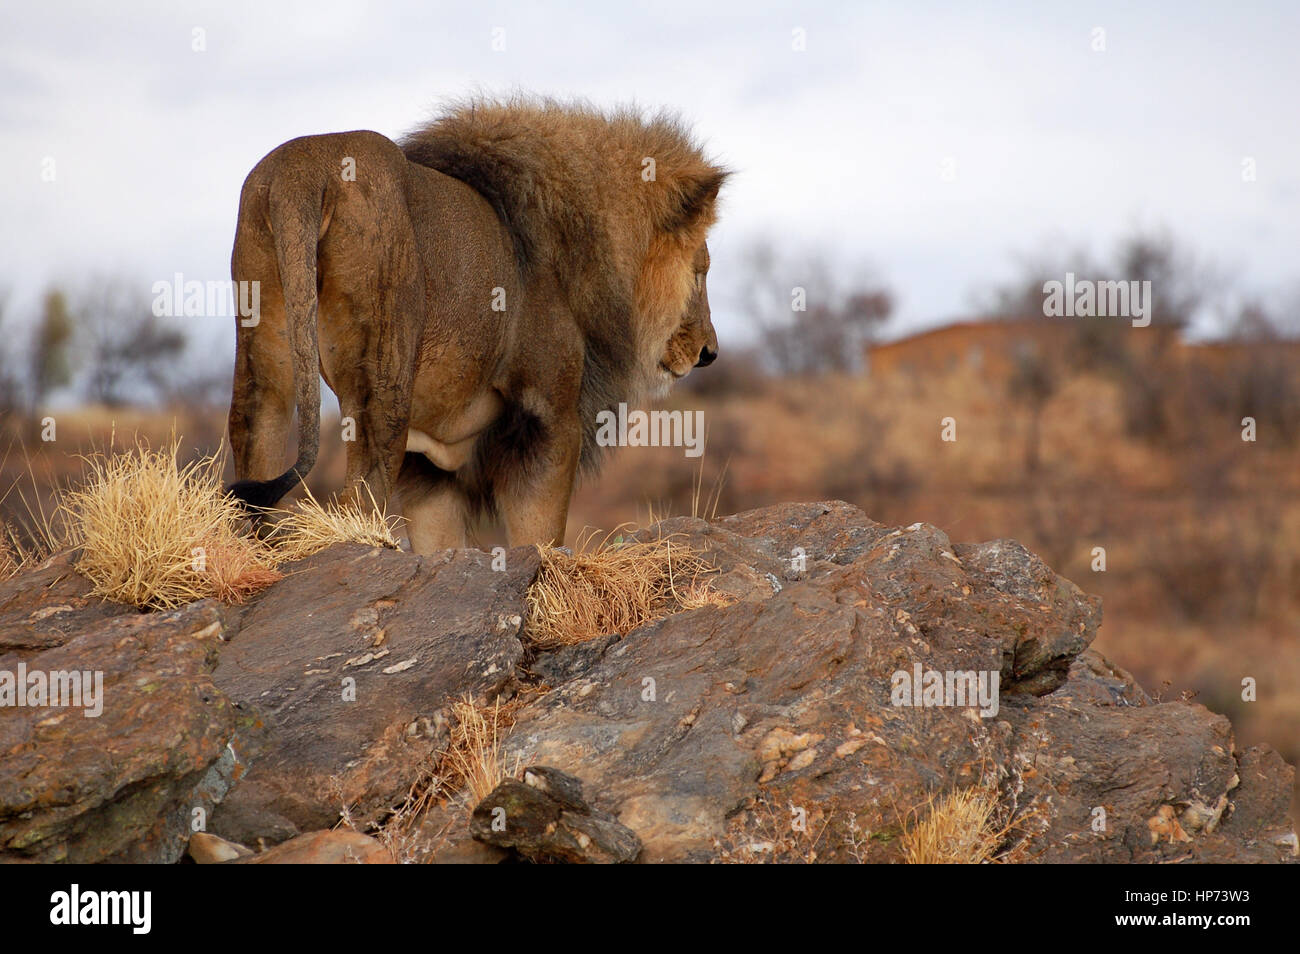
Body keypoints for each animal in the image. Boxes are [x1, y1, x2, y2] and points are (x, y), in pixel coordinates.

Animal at [226, 97, 728, 552]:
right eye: (701, 272)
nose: (710, 353)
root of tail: (301, 172)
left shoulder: (431, 464)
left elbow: (440, 540)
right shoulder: (548, 414)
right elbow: (540, 534)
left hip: (266, 339)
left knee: (254, 439)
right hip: (385, 374)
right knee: (360, 491)